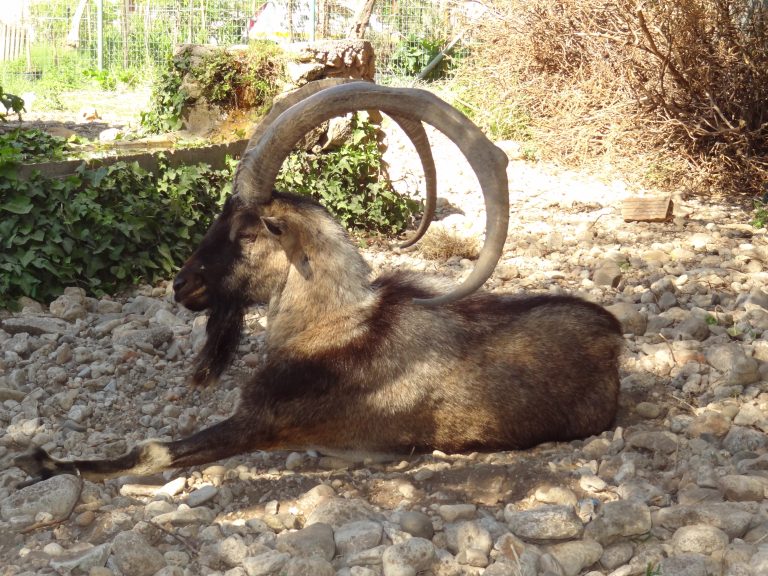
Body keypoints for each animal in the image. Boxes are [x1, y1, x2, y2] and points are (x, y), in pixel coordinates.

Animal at [14, 81, 622, 483]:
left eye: (246, 231)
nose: (182, 286)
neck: (335, 326)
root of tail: (615, 339)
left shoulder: (265, 423)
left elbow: (152, 452)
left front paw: (40, 460)